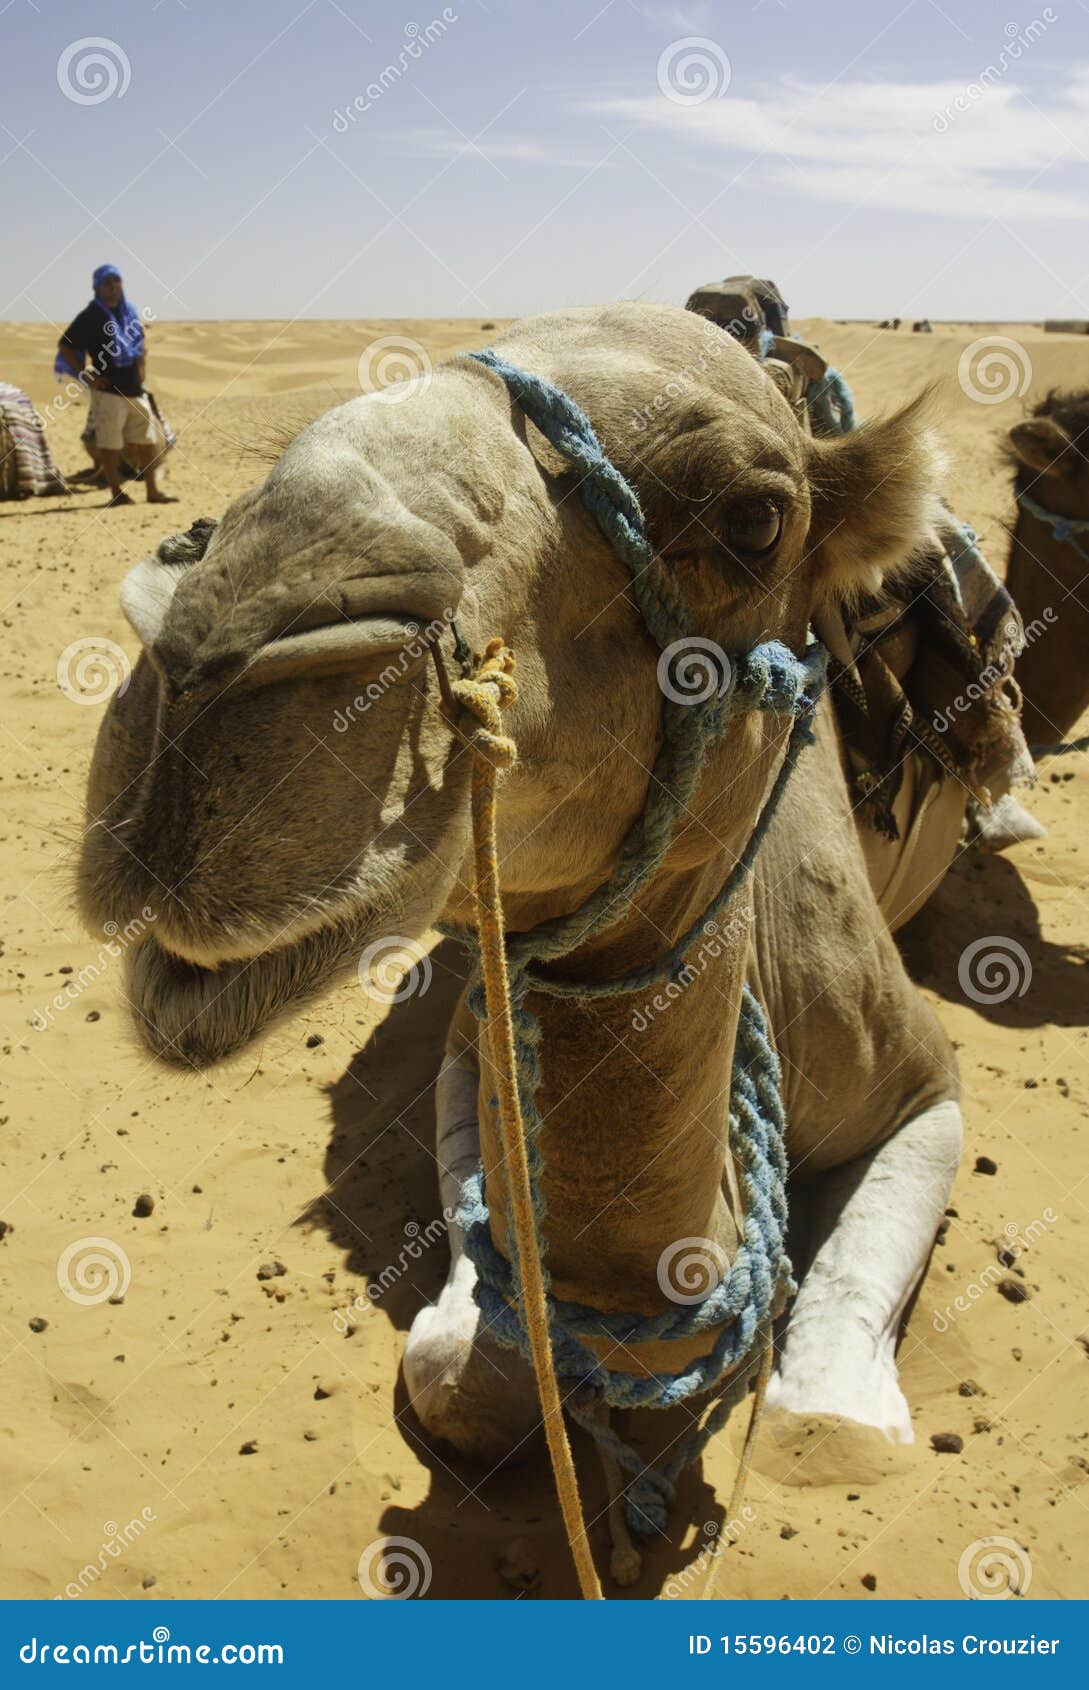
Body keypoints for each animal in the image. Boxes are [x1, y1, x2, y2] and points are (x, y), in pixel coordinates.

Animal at [79, 303, 965, 1589]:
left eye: (754, 520)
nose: (203, 657)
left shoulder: (919, 1077)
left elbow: (827, 1423)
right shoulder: (471, 1036)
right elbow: (460, 1361)